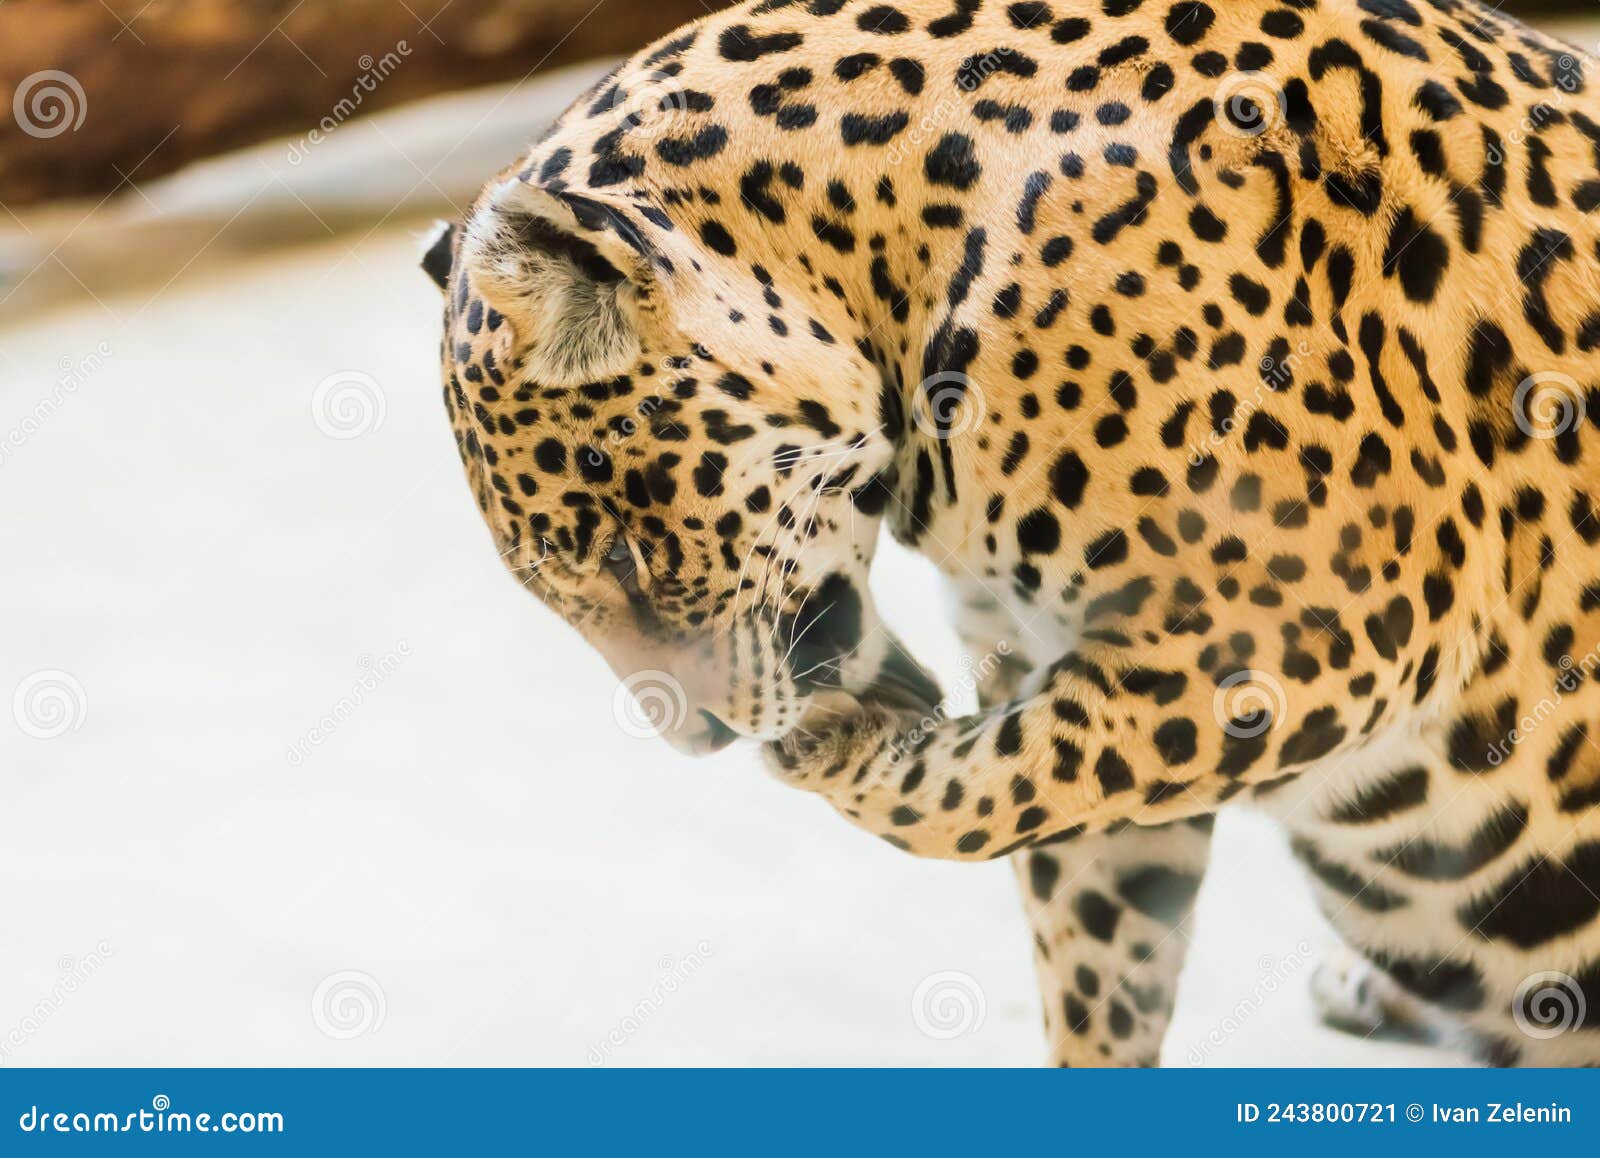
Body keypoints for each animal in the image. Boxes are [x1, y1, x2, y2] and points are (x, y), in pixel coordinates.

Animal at [426, 0, 1600, 1066]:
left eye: (626, 554)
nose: (697, 739)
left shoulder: (1328, 632)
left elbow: (991, 792)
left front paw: (841, 754)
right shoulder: (1068, 664)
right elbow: (1080, 912)